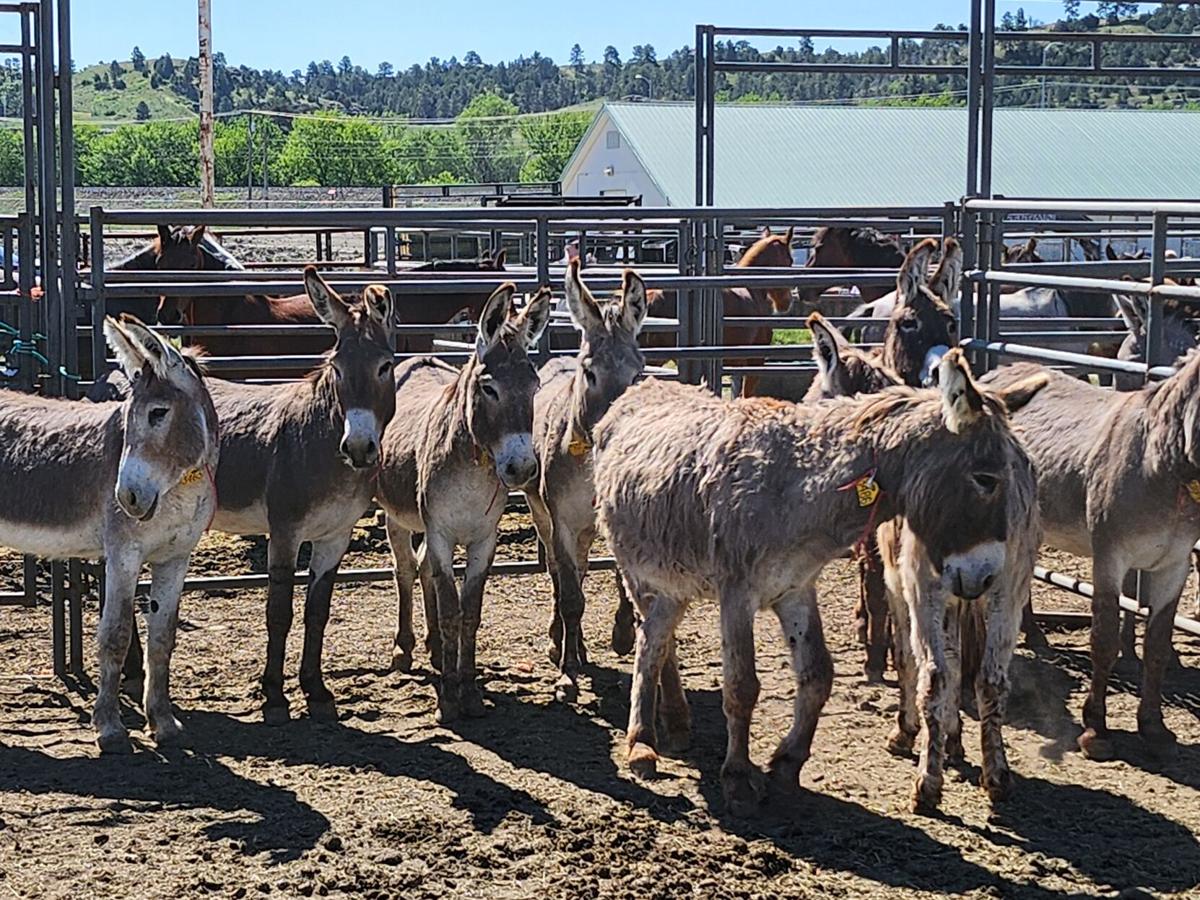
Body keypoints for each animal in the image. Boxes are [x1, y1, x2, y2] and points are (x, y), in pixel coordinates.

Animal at [0, 314, 218, 752]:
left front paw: (163, 723)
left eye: (158, 413)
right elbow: (115, 635)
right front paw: (110, 727)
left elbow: (162, 638)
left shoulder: (176, 557)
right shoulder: (123, 554)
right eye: (128, 415)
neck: (178, 488)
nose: (127, 498)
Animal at [377, 284, 551, 722]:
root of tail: (418, 359)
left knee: (423, 569)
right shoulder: (441, 532)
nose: (523, 468)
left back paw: (437, 648)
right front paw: (449, 699)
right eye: (489, 388)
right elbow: (451, 606)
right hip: (396, 515)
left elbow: (469, 610)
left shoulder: (484, 539)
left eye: (534, 386)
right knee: (406, 569)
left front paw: (468, 689)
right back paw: (405, 648)